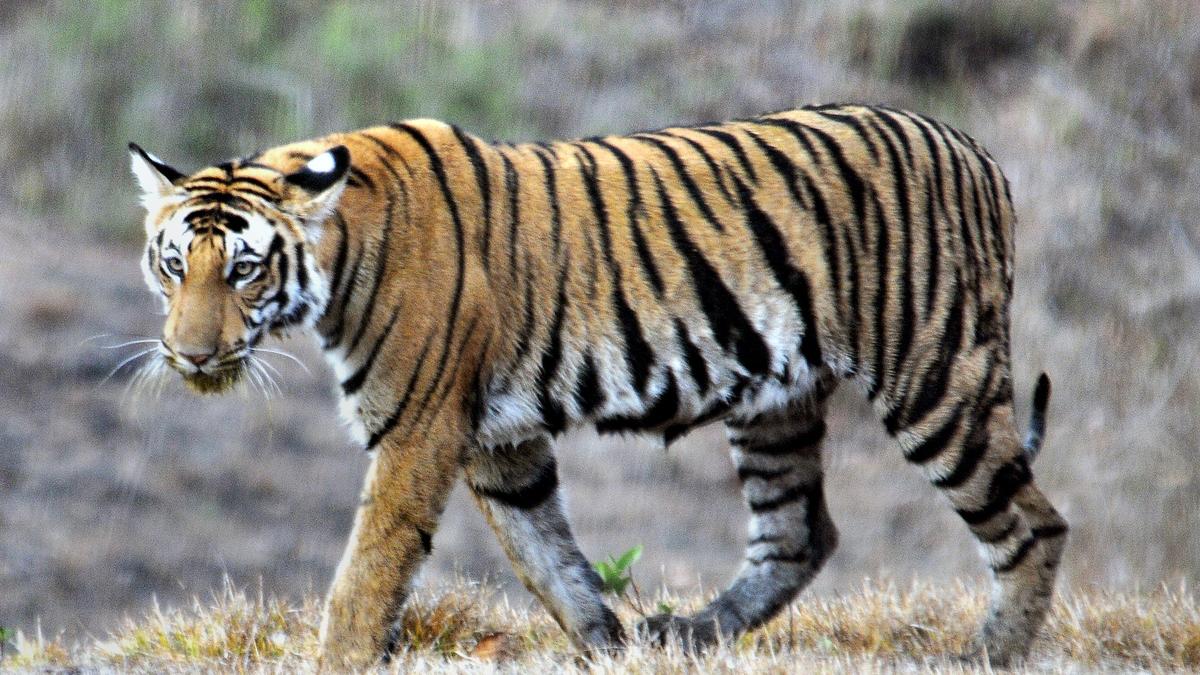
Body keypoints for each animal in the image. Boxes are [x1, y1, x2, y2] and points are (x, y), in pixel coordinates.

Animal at [128, 103, 1067, 669]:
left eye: (245, 269)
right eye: (174, 266)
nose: (191, 356)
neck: (338, 257)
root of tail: (974, 147)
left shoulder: (420, 429)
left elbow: (369, 567)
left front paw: (339, 660)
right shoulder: (500, 441)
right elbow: (547, 554)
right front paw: (607, 645)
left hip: (933, 372)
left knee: (1033, 523)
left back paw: (987, 656)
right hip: (776, 400)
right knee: (800, 530)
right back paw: (688, 633)